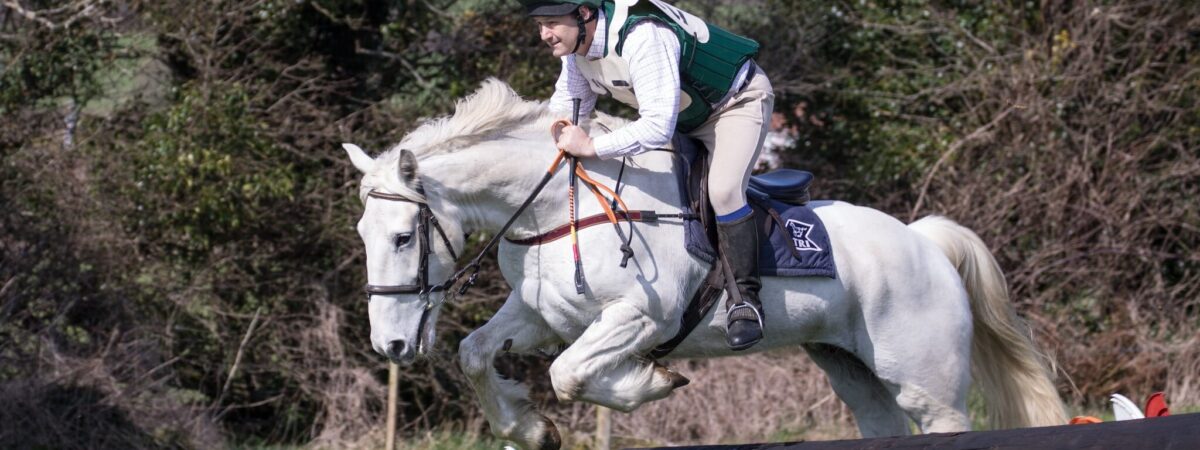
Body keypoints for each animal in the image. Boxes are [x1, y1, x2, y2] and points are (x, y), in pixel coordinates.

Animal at [342, 79, 1066, 449]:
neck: (555, 204)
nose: (392, 346)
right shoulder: (540, 314)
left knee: (940, 418)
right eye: (363, 234)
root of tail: (924, 242)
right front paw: (529, 427)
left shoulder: (638, 318)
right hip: (854, 370)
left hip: (926, 383)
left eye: (403, 237)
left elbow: (571, 374)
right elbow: (476, 353)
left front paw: (646, 384)